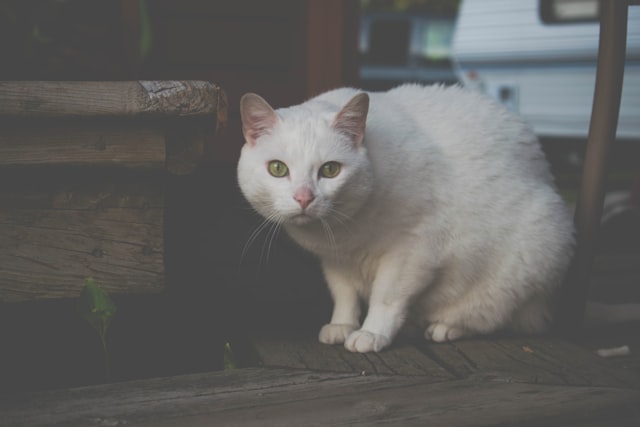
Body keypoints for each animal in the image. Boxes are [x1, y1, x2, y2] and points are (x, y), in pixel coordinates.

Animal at [236, 84, 576, 354]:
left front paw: (372, 333)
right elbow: (343, 294)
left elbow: (385, 298)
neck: (344, 233)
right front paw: (342, 325)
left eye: (330, 170)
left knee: (494, 317)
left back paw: (445, 327)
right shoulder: (335, 260)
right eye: (278, 168)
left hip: (536, 246)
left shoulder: (412, 251)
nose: (304, 198)